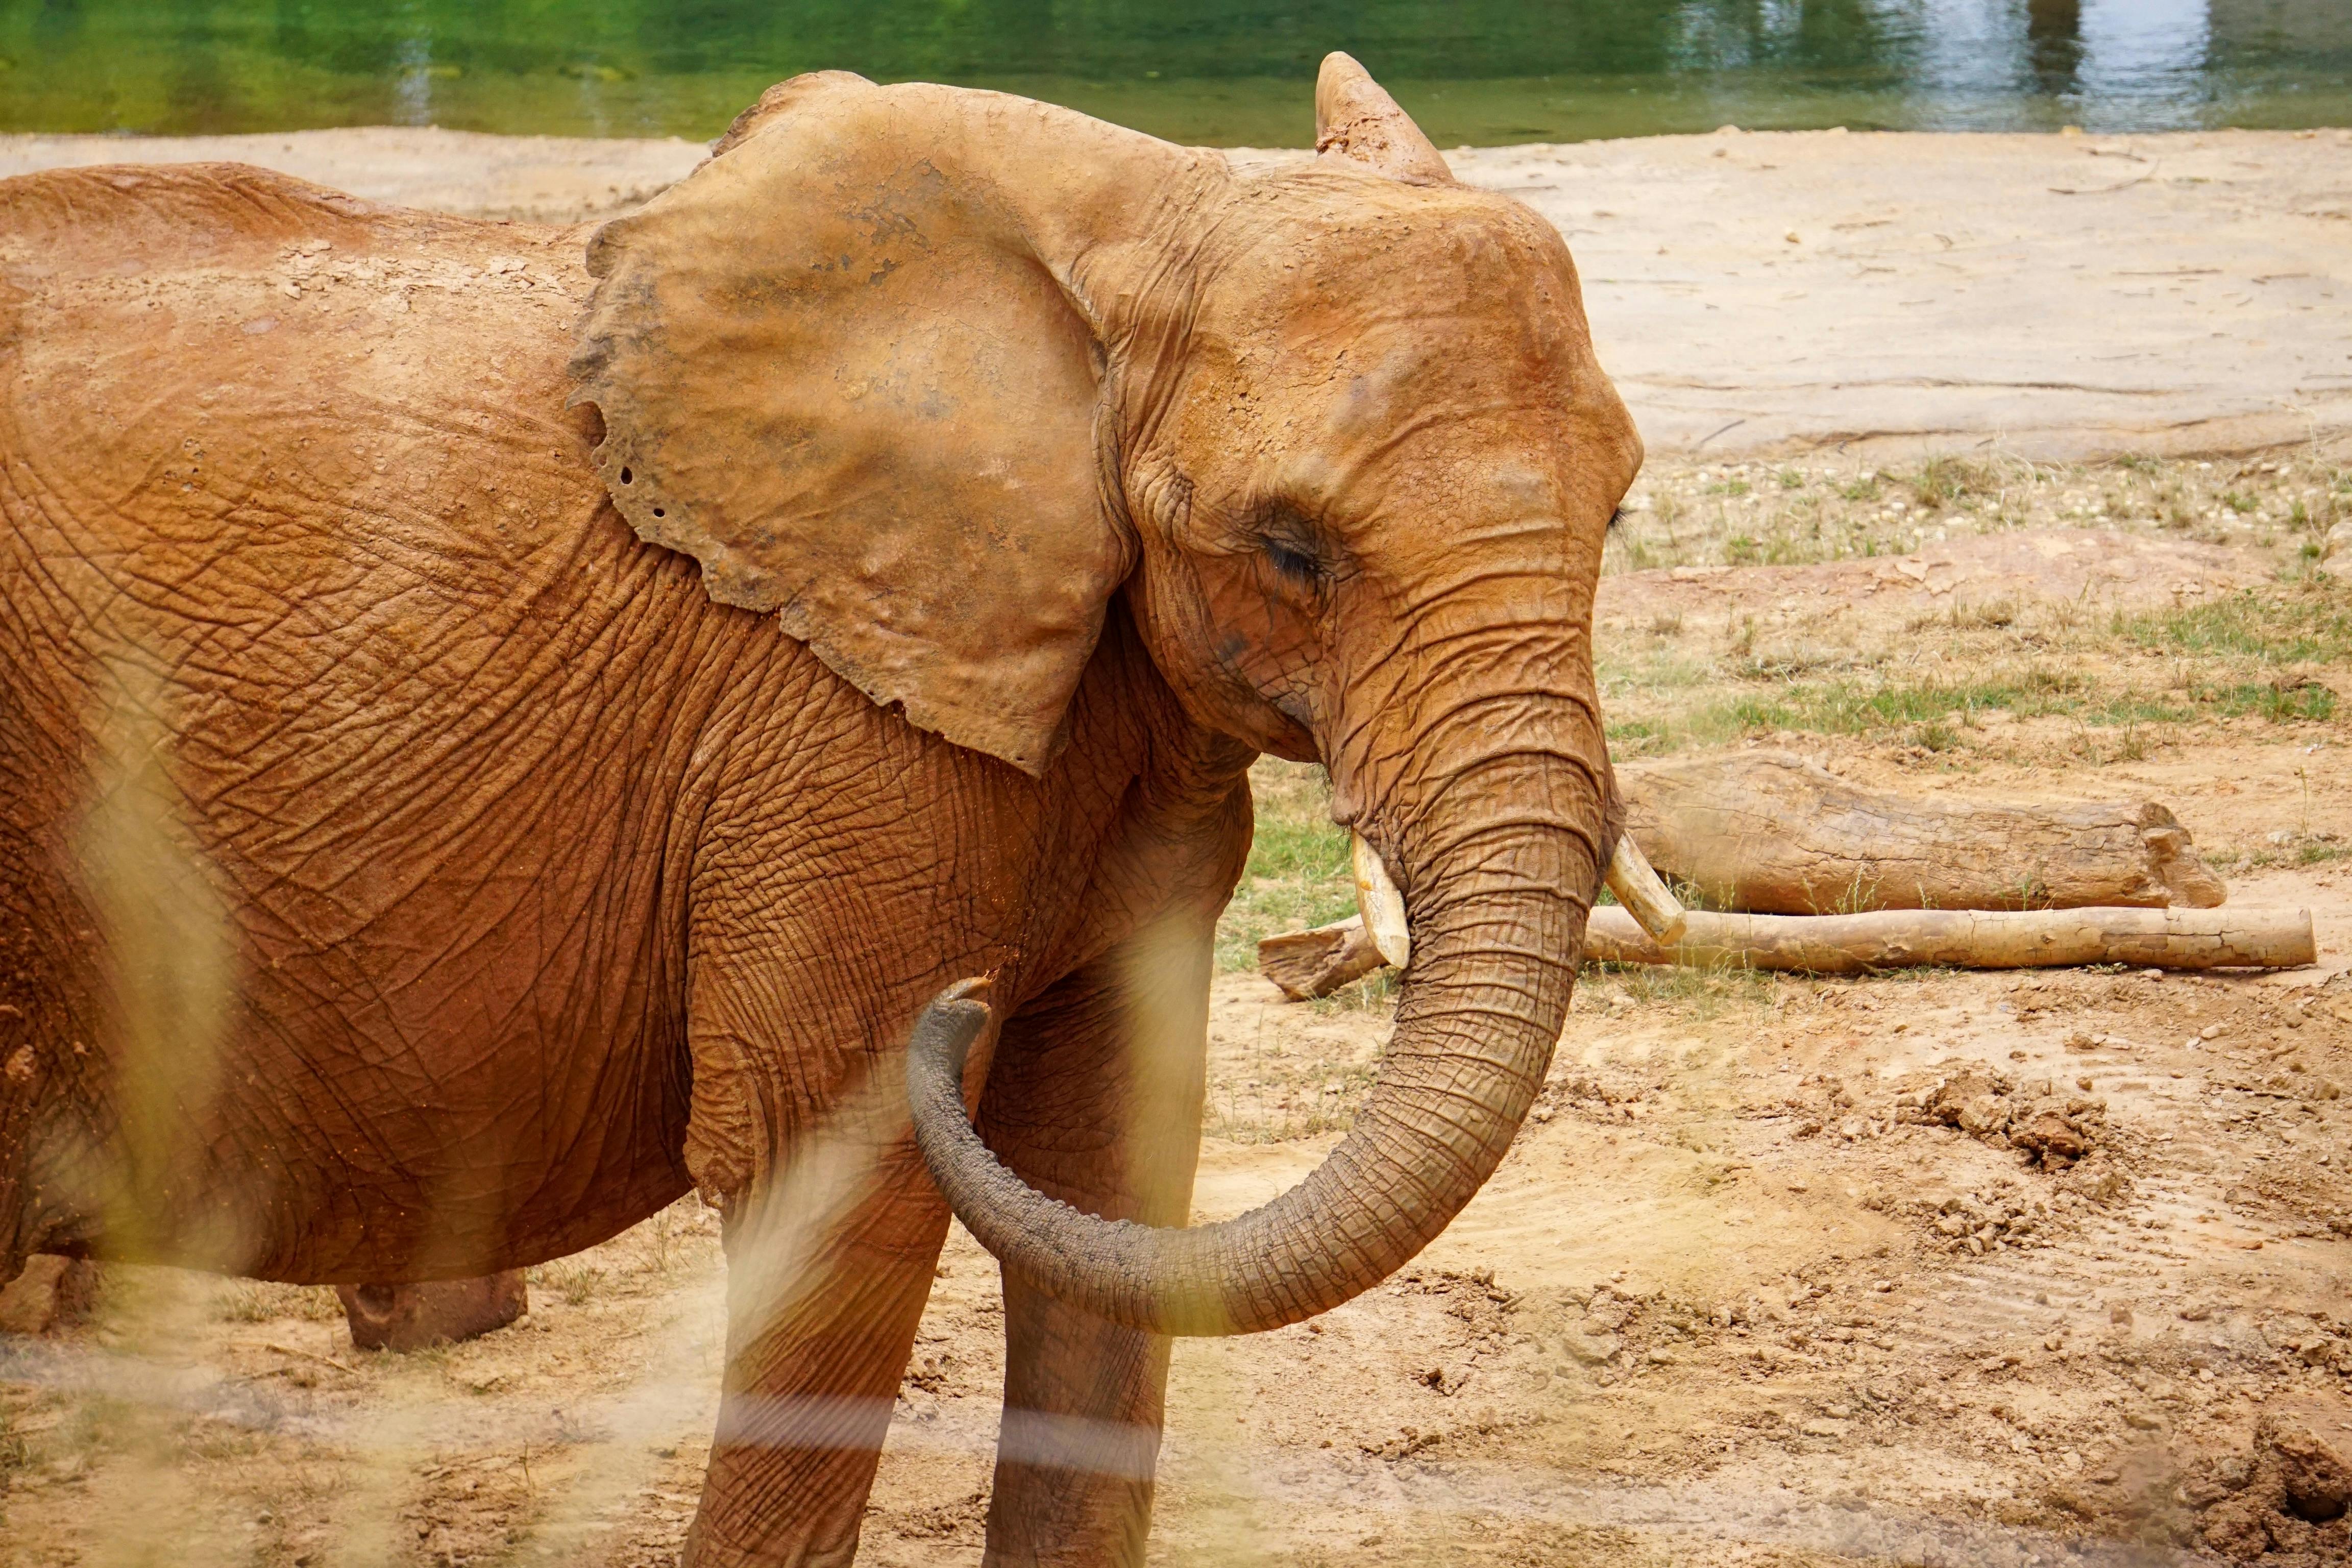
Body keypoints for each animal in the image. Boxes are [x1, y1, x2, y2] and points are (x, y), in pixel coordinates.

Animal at [0, 53, 1638, 1567]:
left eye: (1617, 509)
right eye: (1288, 547)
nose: (958, 1011)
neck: (1123, 235)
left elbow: (1107, 1175)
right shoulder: (825, 733)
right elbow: (846, 1192)